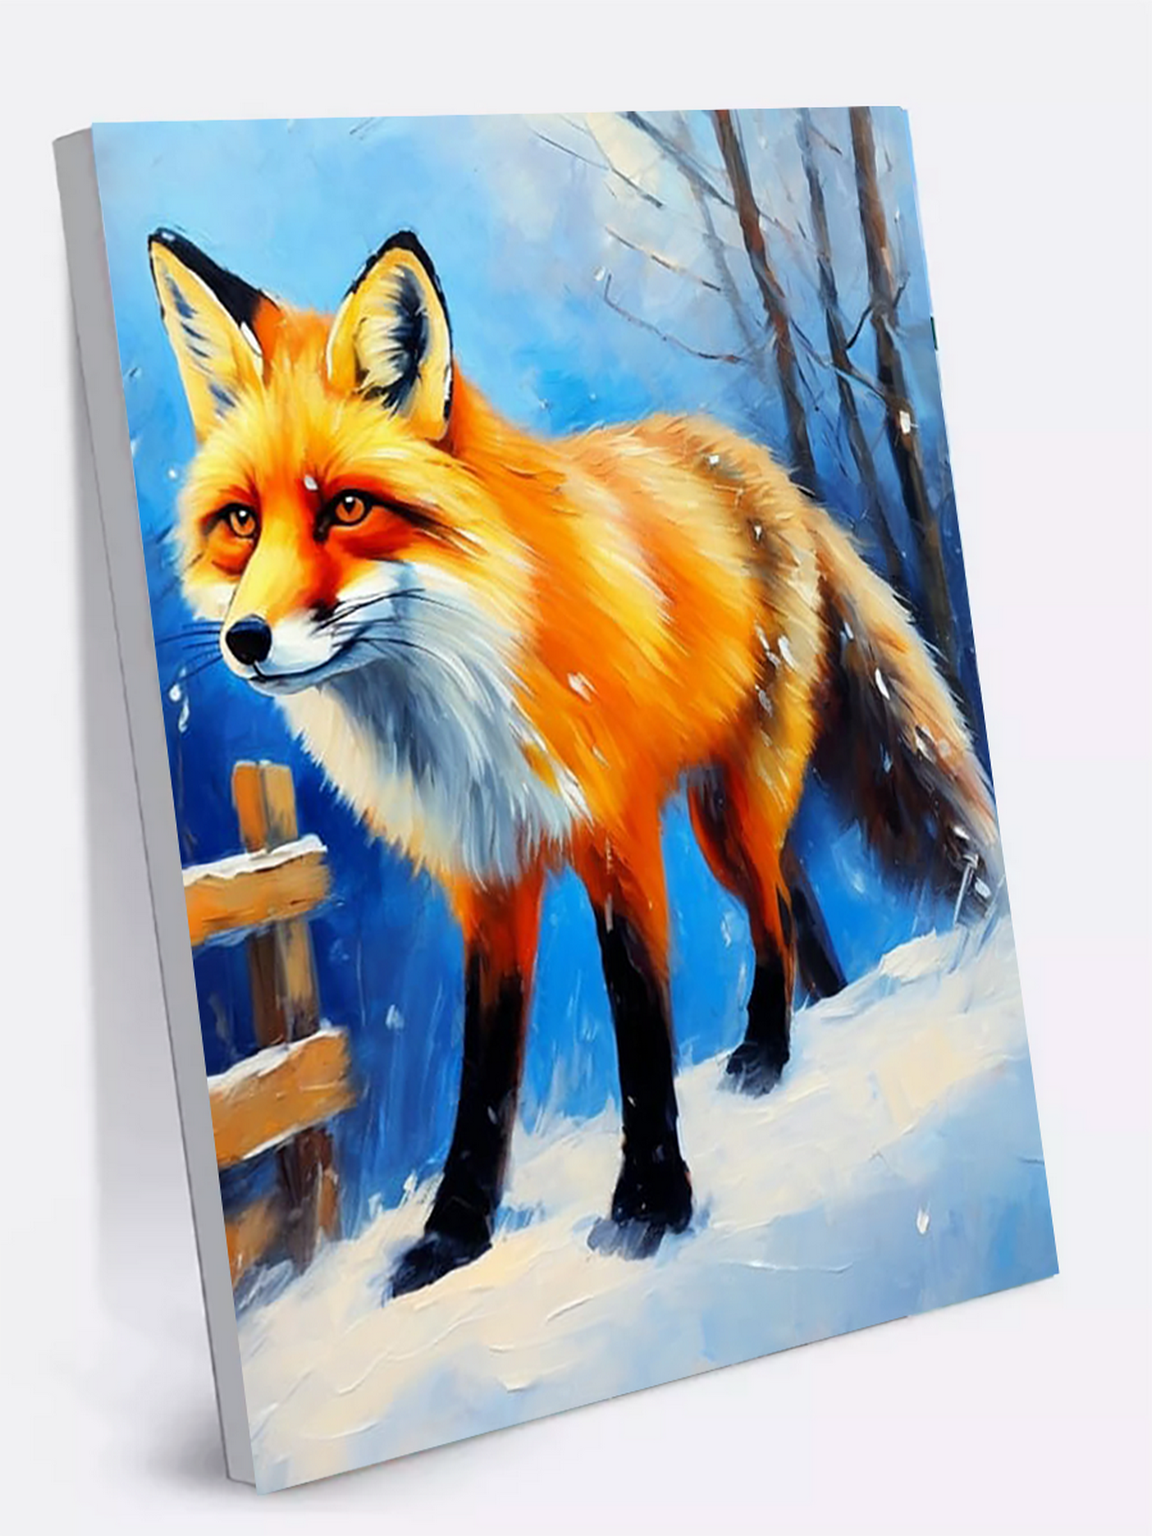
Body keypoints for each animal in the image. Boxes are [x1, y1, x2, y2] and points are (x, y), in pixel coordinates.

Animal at [149, 227, 1000, 1297]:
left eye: (346, 508)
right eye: (241, 523)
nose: (247, 640)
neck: (461, 690)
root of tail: (760, 467)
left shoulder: (615, 834)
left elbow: (638, 1024)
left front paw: (650, 1208)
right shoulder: (487, 874)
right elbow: (484, 1072)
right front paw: (453, 1239)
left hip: (728, 811)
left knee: (770, 908)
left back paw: (769, 1049)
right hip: (725, 816)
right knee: (793, 897)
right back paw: (812, 1017)